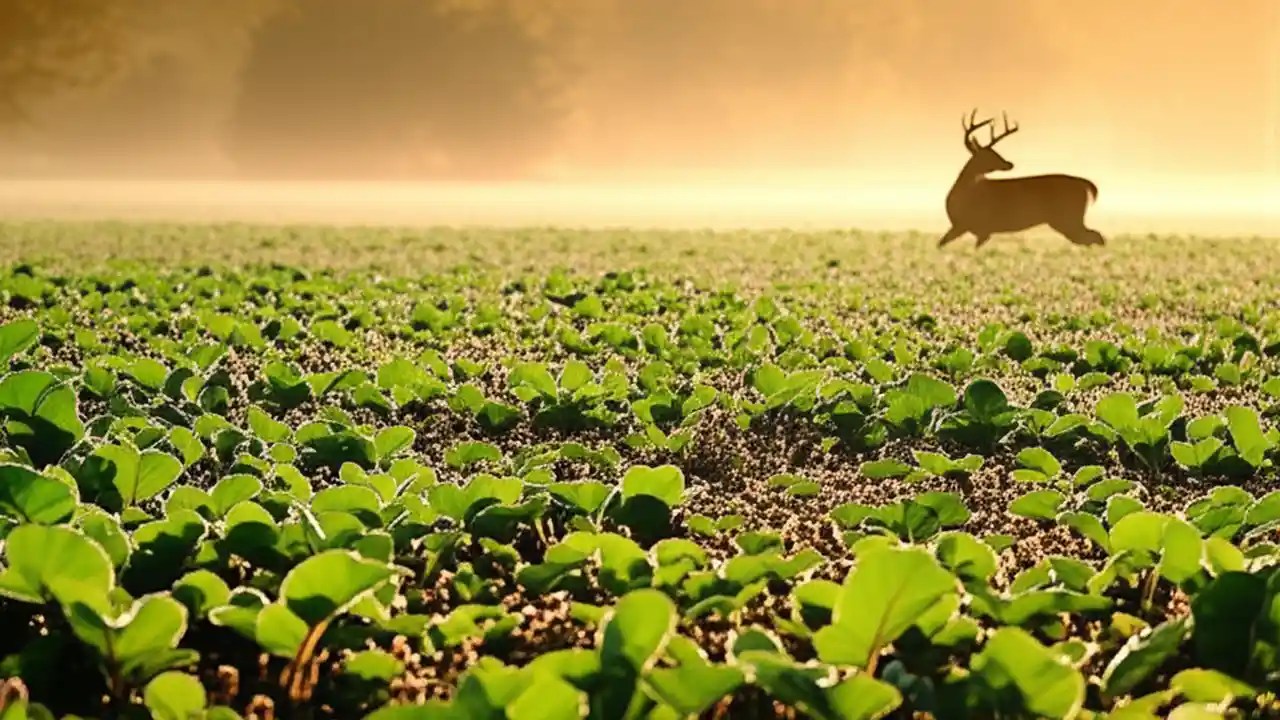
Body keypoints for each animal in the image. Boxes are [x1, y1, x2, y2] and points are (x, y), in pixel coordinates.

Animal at [939, 109, 1105, 249]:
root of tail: (1085, 184)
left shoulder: (981, 228)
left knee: (1095, 237)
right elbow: (941, 244)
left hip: (1069, 218)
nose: (1009, 163)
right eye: (990, 154)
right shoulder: (967, 228)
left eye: (995, 152)